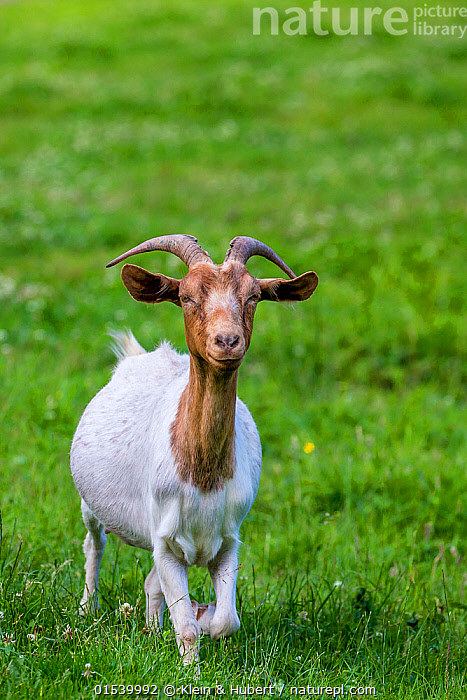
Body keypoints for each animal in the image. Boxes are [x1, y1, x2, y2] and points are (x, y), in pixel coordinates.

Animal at [70, 235, 318, 664]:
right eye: (186, 297)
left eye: (253, 296)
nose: (228, 340)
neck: (203, 477)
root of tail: (144, 356)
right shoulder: (167, 542)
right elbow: (186, 626)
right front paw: (190, 667)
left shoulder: (227, 540)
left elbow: (226, 620)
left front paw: (204, 617)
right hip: (91, 506)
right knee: (94, 545)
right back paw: (88, 608)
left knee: (150, 582)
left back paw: (152, 631)